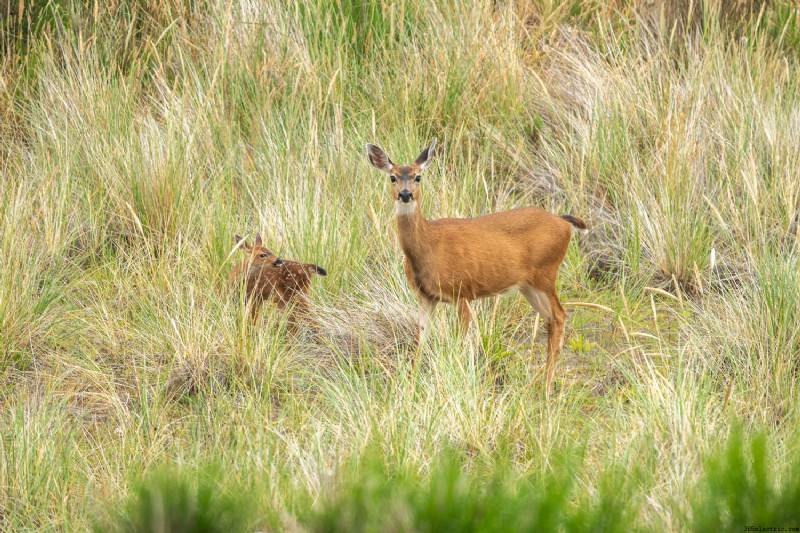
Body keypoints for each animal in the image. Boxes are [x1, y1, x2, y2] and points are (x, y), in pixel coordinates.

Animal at [368, 141, 588, 390]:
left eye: (418, 177)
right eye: (392, 178)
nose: (405, 194)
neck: (428, 249)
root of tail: (563, 222)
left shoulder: (461, 290)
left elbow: (458, 343)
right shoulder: (426, 296)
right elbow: (421, 340)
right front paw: (410, 386)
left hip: (545, 273)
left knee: (560, 315)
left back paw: (547, 387)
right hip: (528, 285)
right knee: (551, 319)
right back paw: (539, 383)